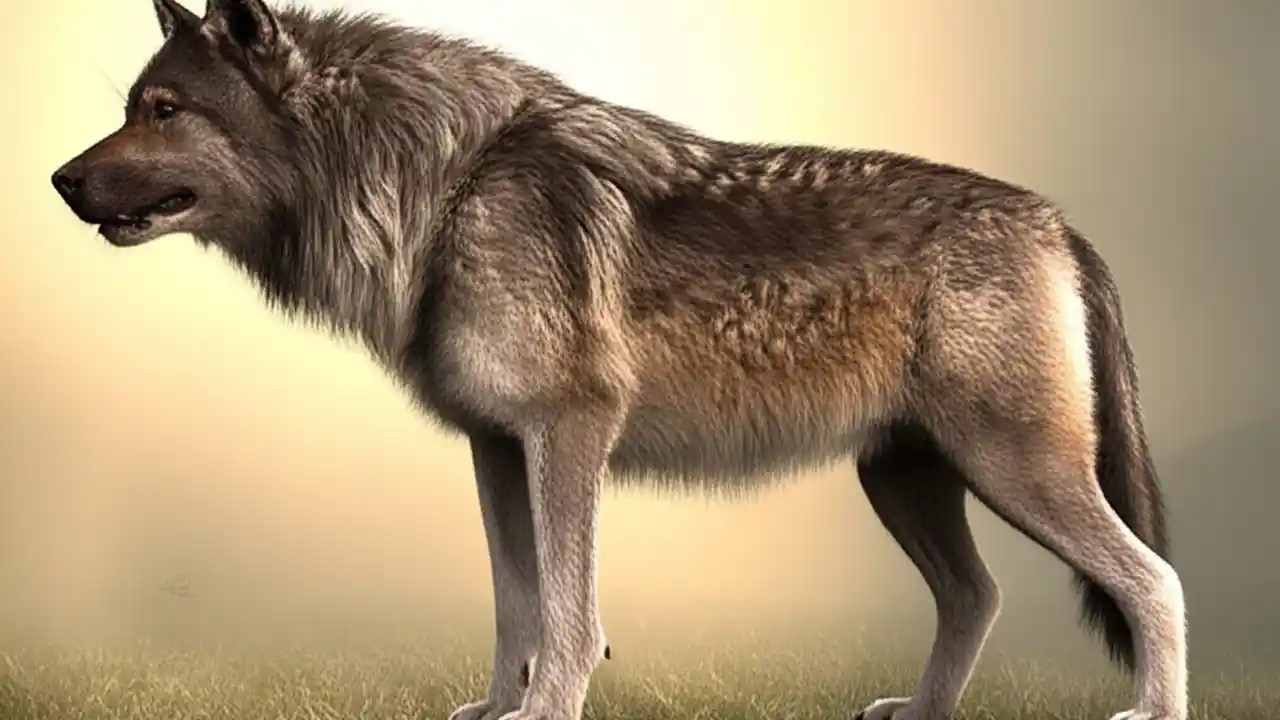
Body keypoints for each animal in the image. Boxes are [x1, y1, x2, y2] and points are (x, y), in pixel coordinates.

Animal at [50, 1, 1188, 719]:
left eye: (164, 112)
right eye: (130, 108)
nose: (60, 179)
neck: (447, 187)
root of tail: (1059, 223)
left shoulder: (569, 436)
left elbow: (568, 610)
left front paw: (544, 712)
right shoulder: (495, 449)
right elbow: (514, 602)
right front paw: (495, 709)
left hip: (1009, 469)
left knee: (1155, 580)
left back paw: (1145, 709)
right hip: (905, 479)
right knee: (977, 597)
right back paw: (918, 713)